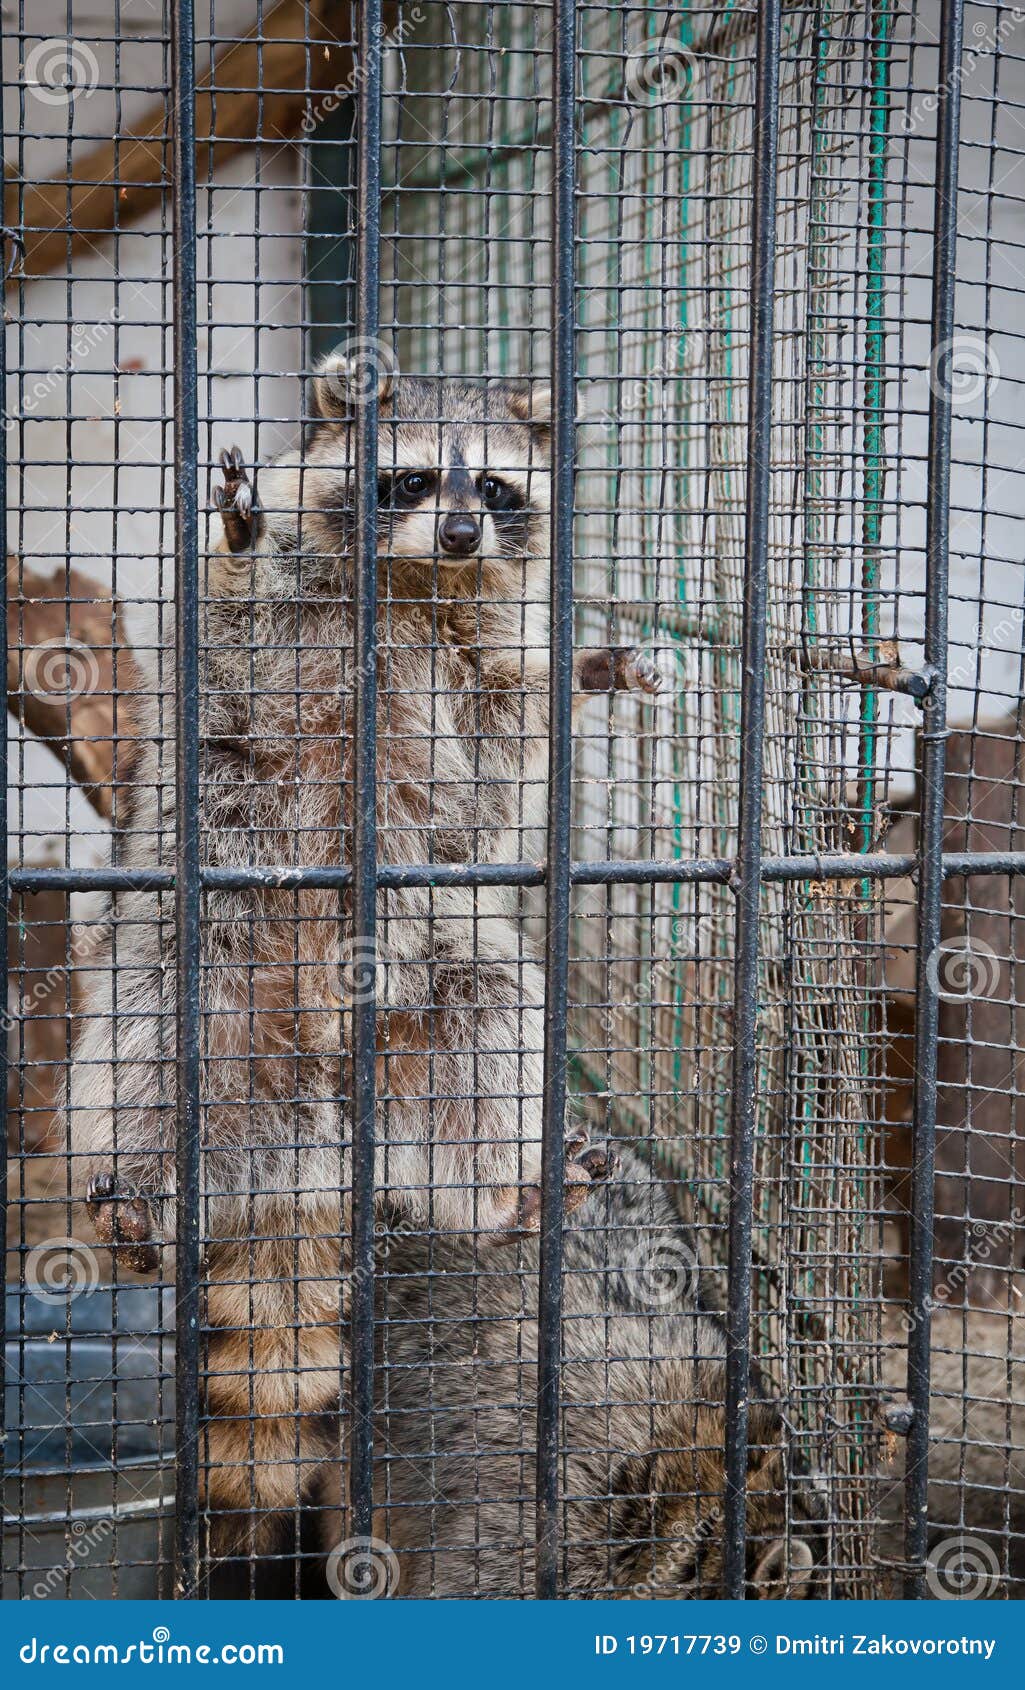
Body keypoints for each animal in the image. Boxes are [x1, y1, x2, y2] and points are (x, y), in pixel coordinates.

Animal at [67, 359, 662, 1560]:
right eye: (411, 479)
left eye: (495, 484)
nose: (463, 531)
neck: (415, 586)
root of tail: (311, 1140)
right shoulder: (264, 645)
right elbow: (232, 638)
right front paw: (239, 529)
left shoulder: (479, 669)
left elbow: (500, 758)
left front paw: (584, 668)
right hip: (194, 958)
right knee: (148, 1047)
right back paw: (138, 1200)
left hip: (428, 979)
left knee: (490, 1017)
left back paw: (497, 1199)